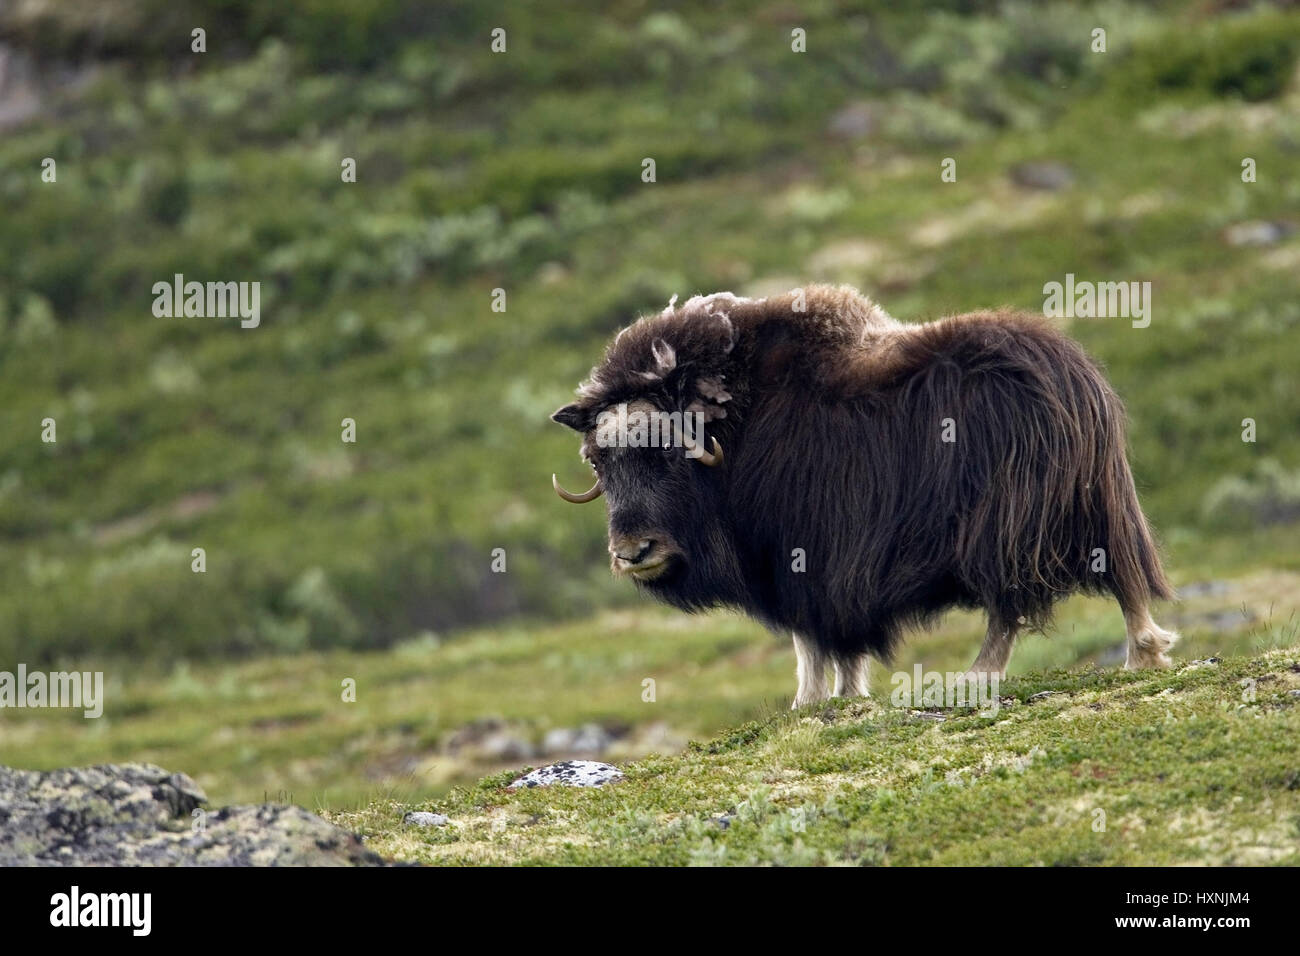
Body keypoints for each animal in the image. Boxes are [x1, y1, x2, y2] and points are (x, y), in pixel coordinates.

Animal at [551, 285, 1178, 708]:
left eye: (665, 454)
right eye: (600, 461)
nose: (633, 552)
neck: (735, 424)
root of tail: (1075, 374)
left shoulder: (799, 556)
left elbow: (810, 636)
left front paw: (807, 703)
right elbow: (830, 641)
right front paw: (842, 696)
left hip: (1006, 526)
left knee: (1009, 605)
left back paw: (978, 677)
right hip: (1099, 506)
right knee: (1122, 575)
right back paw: (1145, 655)